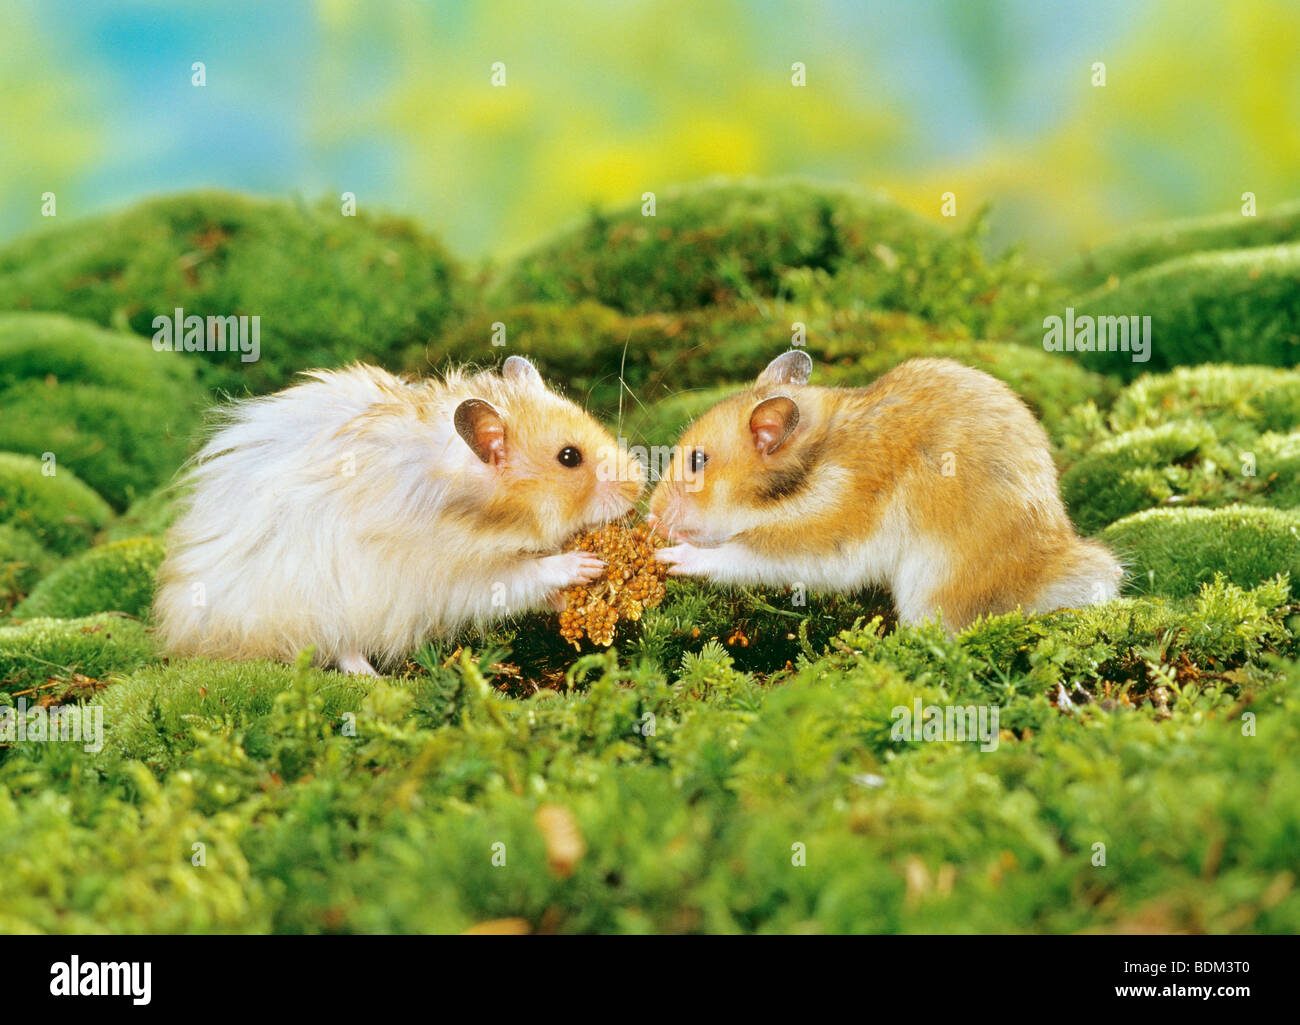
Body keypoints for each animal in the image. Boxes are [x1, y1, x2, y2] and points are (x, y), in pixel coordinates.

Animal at [155, 356, 643, 674]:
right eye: (569, 457)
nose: (639, 481)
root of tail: (182, 630)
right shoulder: (456, 575)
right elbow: (527, 575)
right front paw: (585, 565)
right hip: (323, 607)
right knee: (341, 649)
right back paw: (377, 680)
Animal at [648, 350, 1121, 632]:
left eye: (697, 462)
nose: (651, 515)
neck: (806, 475)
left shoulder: (824, 536)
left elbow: (737, 555)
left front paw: (670, 555)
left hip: (933, 582)